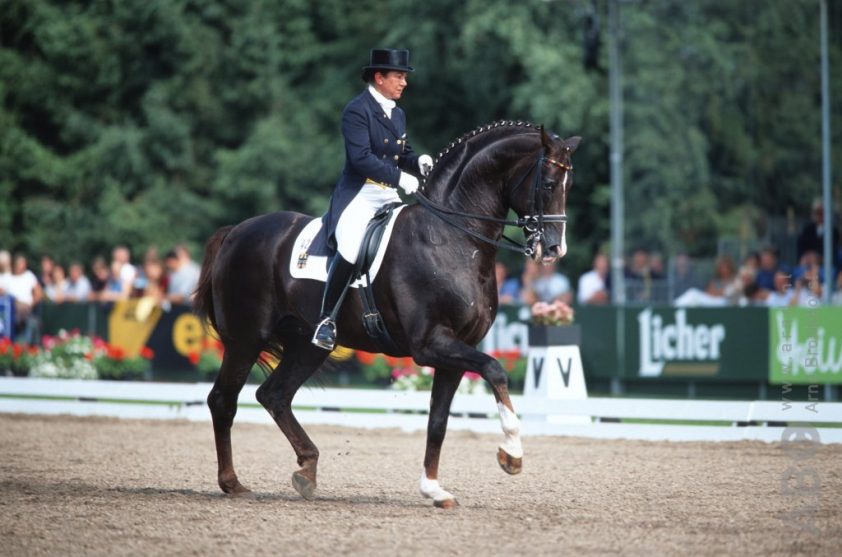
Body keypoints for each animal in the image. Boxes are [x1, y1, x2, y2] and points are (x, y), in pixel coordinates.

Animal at [194, 121, 581, 508]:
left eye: (569, 186)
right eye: (548, 183)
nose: (554, 250)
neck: (451, 238)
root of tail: (236, 231)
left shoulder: (456, 351)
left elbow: (438, 420)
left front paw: (433, 489)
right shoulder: (430, 345)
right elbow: (496, 370)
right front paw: (511, 454)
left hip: (308, 345)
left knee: (274, 395)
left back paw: (307, 469)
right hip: (245, 339)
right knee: (223, 401)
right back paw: (232, 482)